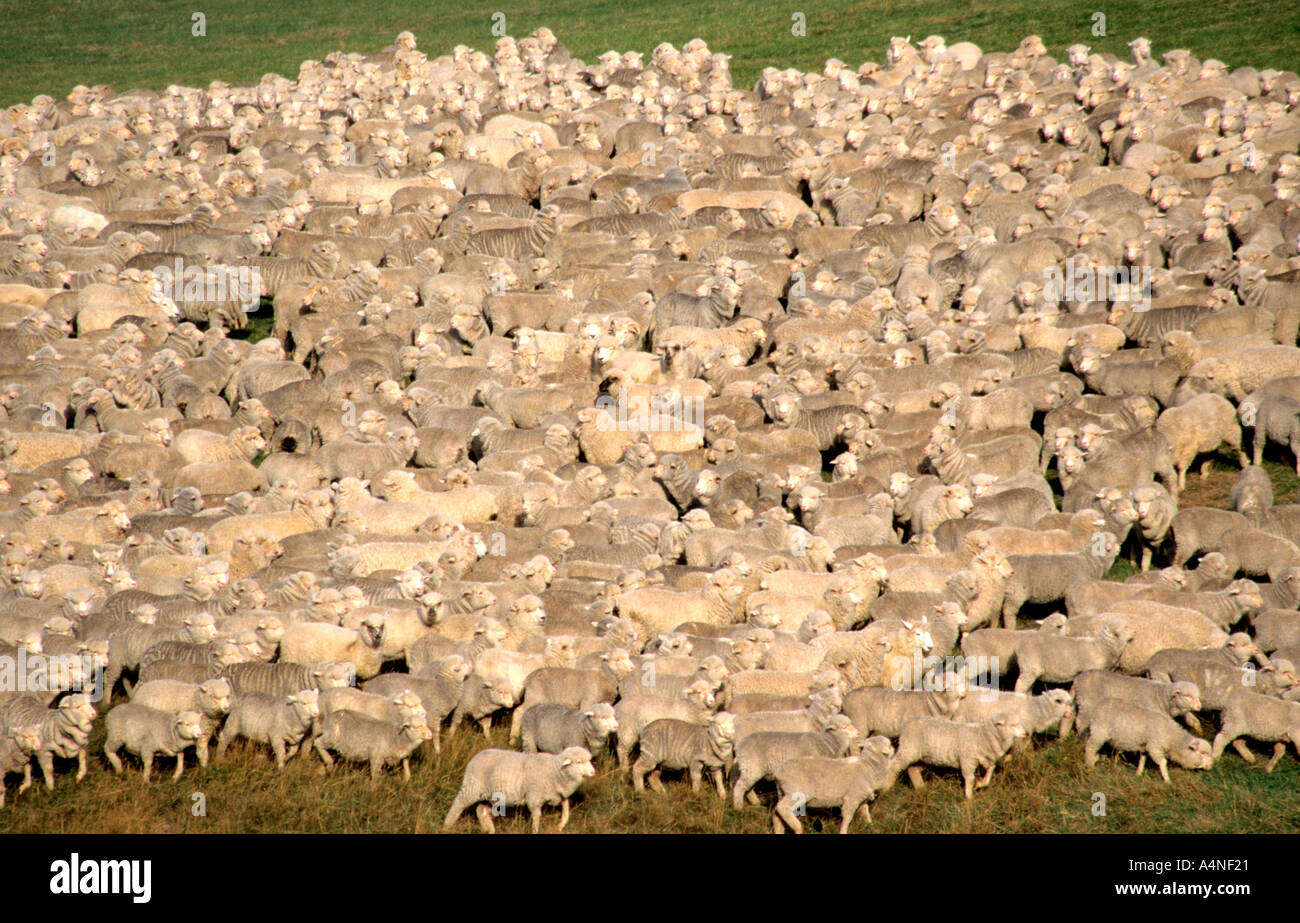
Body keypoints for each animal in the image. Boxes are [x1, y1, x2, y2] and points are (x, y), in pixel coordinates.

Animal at [443, 746, 596, 833]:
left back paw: (490, 830)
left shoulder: (559, 794)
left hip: (490, 795)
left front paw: (560, 826)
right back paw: (447, 825)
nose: (593, 772)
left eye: (589, 760)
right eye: (579, 762)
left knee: (481, 810)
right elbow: (536, 816)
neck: (556, 770)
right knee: (458, 805)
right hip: (472, 787)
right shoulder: (534, 797)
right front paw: (535, 830)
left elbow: (566, 810)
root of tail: (476, 756)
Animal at [883, 712, 1027, 799]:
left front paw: (980, 784)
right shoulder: (967, 759)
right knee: (894, 766)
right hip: (909, 748)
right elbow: (969, 778)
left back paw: (921, 789)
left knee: (912, 769)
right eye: (1013, 725)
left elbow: (991, 770)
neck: (984, 735)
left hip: (923, 756)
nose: (1025, 734)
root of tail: (906, 723)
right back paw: (886, 787)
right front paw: (969, 798)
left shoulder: (985, 758)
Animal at [1078, 698, 1215, 782]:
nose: (1211, 765)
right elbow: (1163, 762)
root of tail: (1097, 707)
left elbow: (1142, 758)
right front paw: (1167, 780)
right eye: (1203, 753)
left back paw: (1095, 759)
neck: (1171, 737)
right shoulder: (1154, 746)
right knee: (1090, 747)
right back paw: (1089, 764)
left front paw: (1138, 773)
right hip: (1099, 732)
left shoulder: (1145, 745)